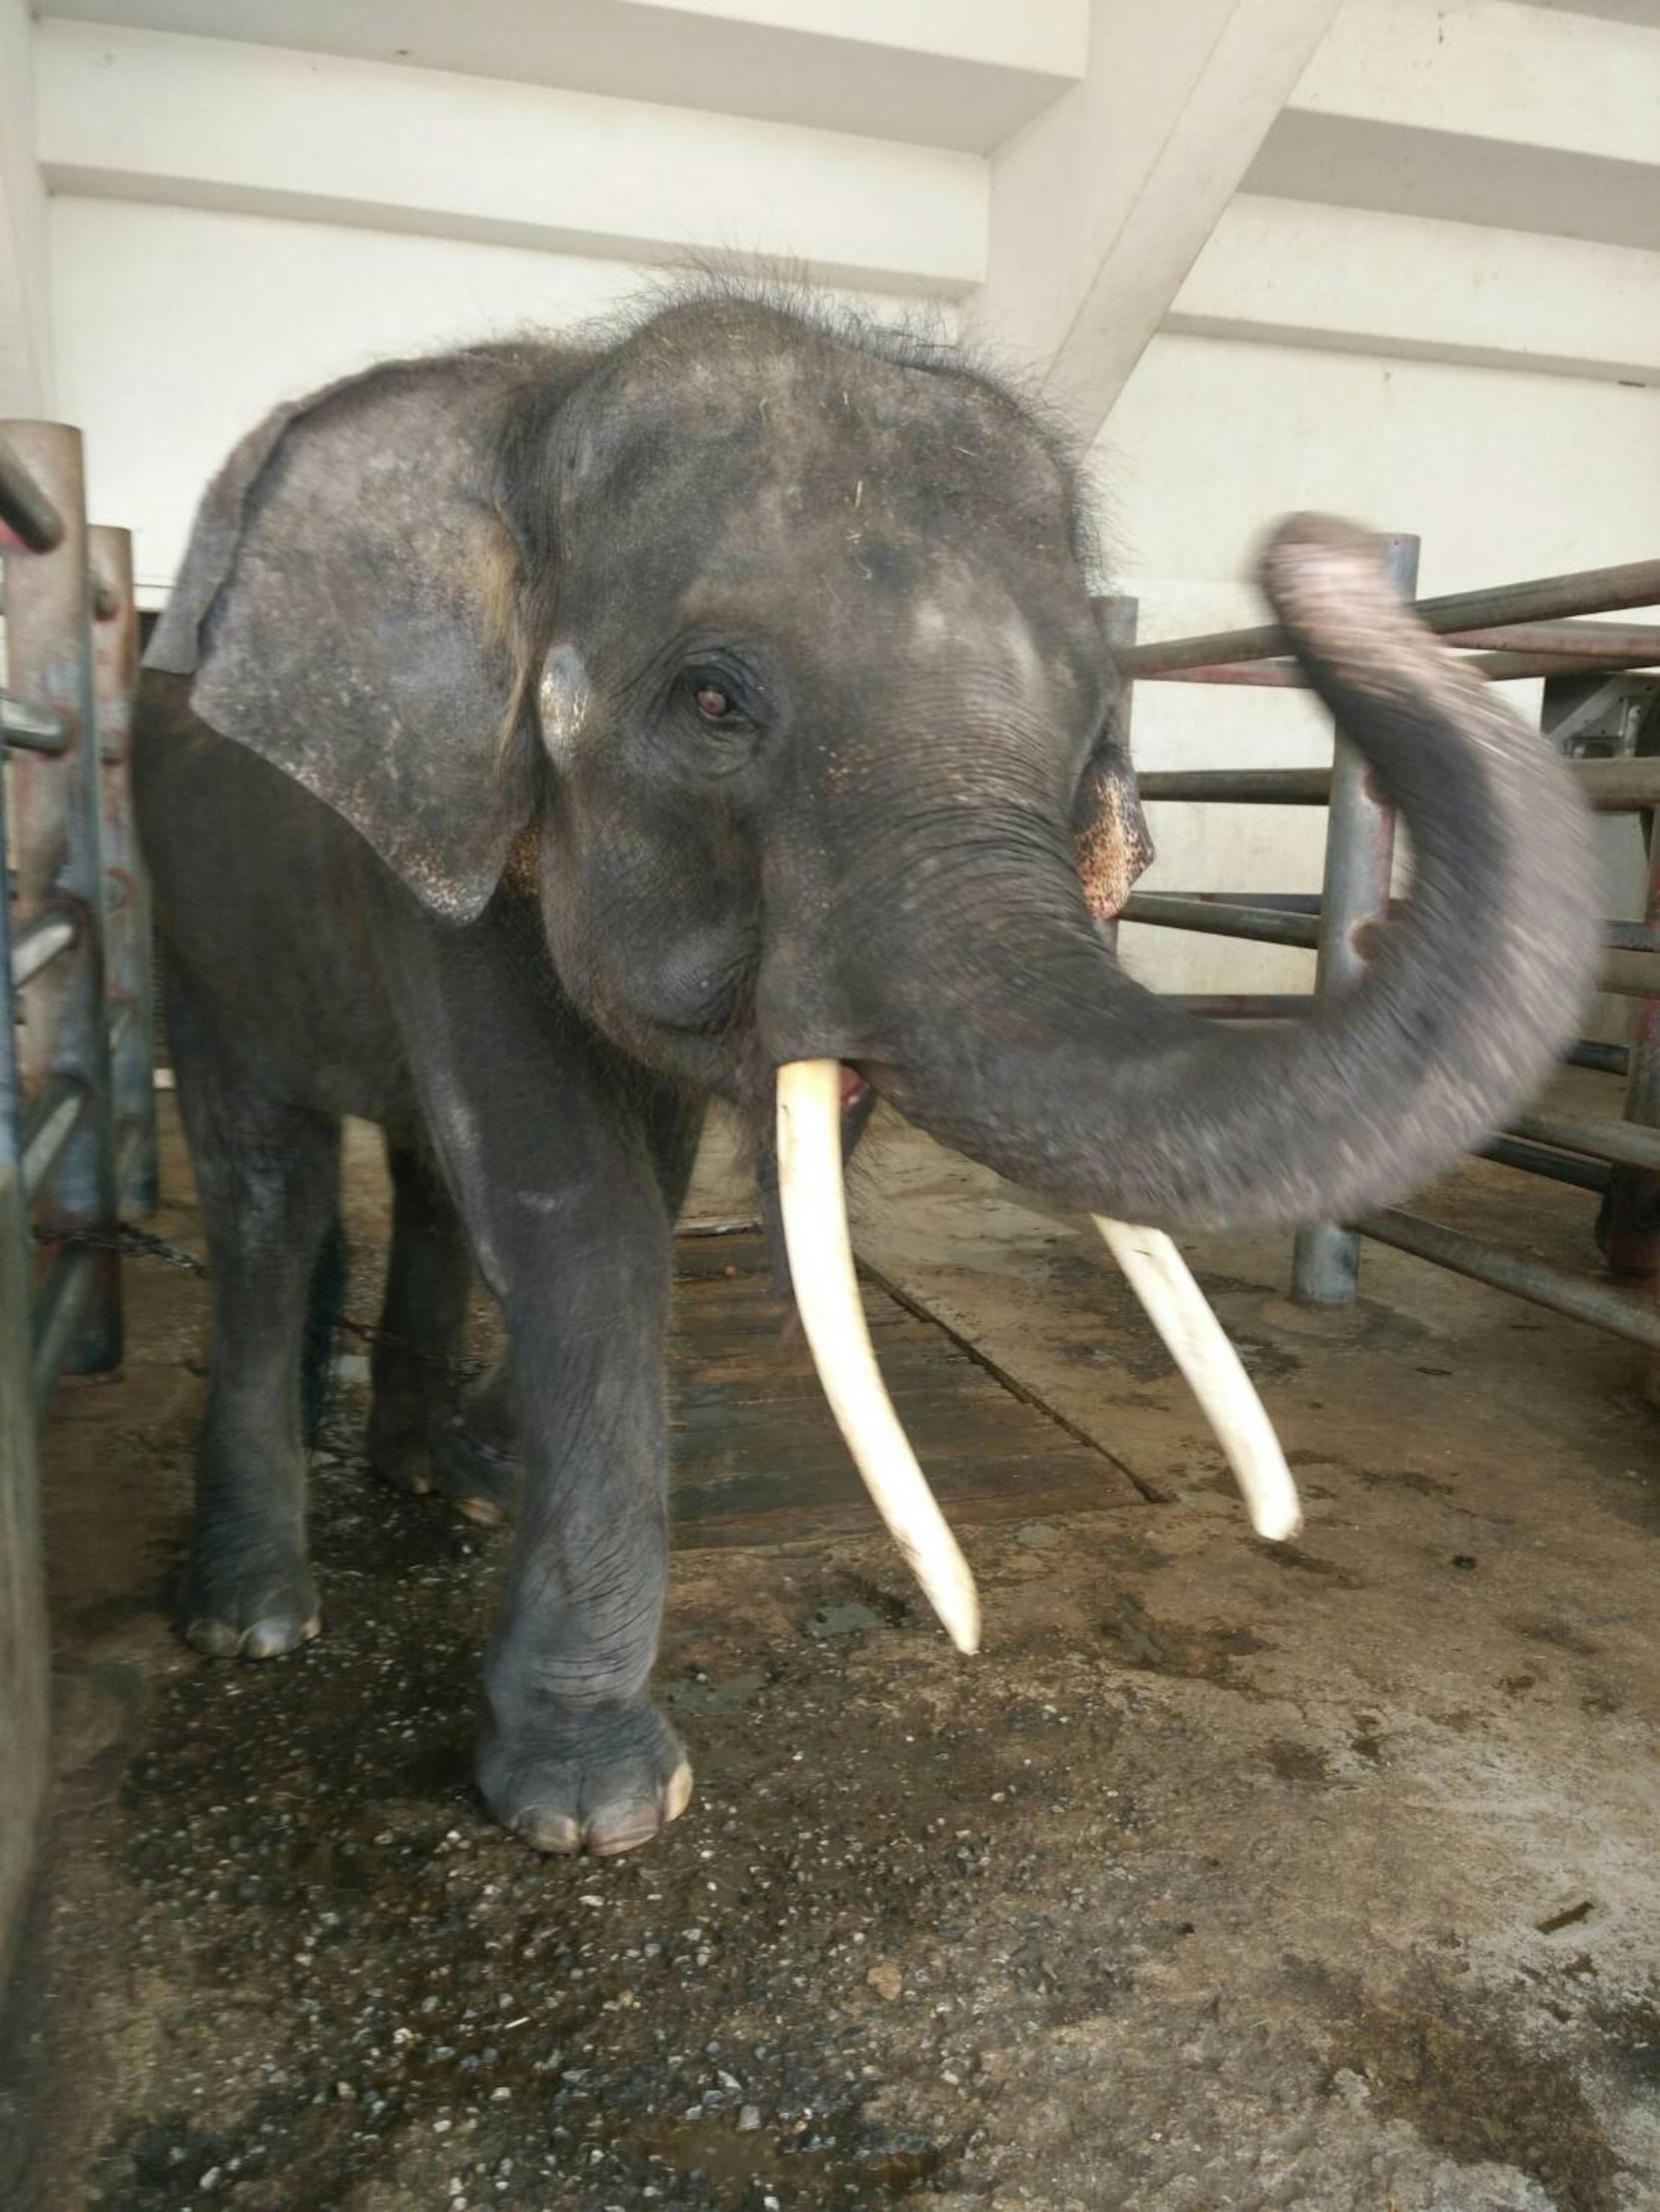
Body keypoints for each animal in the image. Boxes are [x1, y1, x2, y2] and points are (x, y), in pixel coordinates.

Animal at [134, 286, 1599, 1858]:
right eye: (712, 700)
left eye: (1095, 733)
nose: (1312, 539)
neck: (555, 393)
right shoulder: (442, 822)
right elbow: (571, 1208)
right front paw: (596, 1808)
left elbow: (624, 1179)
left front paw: (504, 1498)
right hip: (186, 911)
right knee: (269, 1190)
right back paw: (252, 1617)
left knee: (417, 1180)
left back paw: (440, 1483)